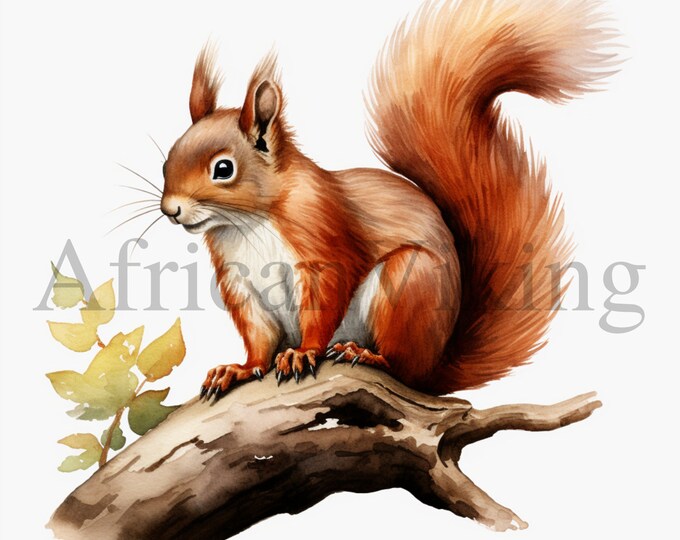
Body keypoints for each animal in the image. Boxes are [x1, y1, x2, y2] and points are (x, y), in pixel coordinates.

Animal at [160, 0, 614, 400]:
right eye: (167, 160)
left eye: (223, 169)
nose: (171, 210)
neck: (248, 223)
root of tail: (436, 367)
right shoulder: (240, 282)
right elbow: (258, 337)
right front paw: (238, 369)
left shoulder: (324, 239)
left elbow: (325, 300)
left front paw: (303, 352)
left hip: (407, 285)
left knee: (401, 364)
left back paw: (365, 354)